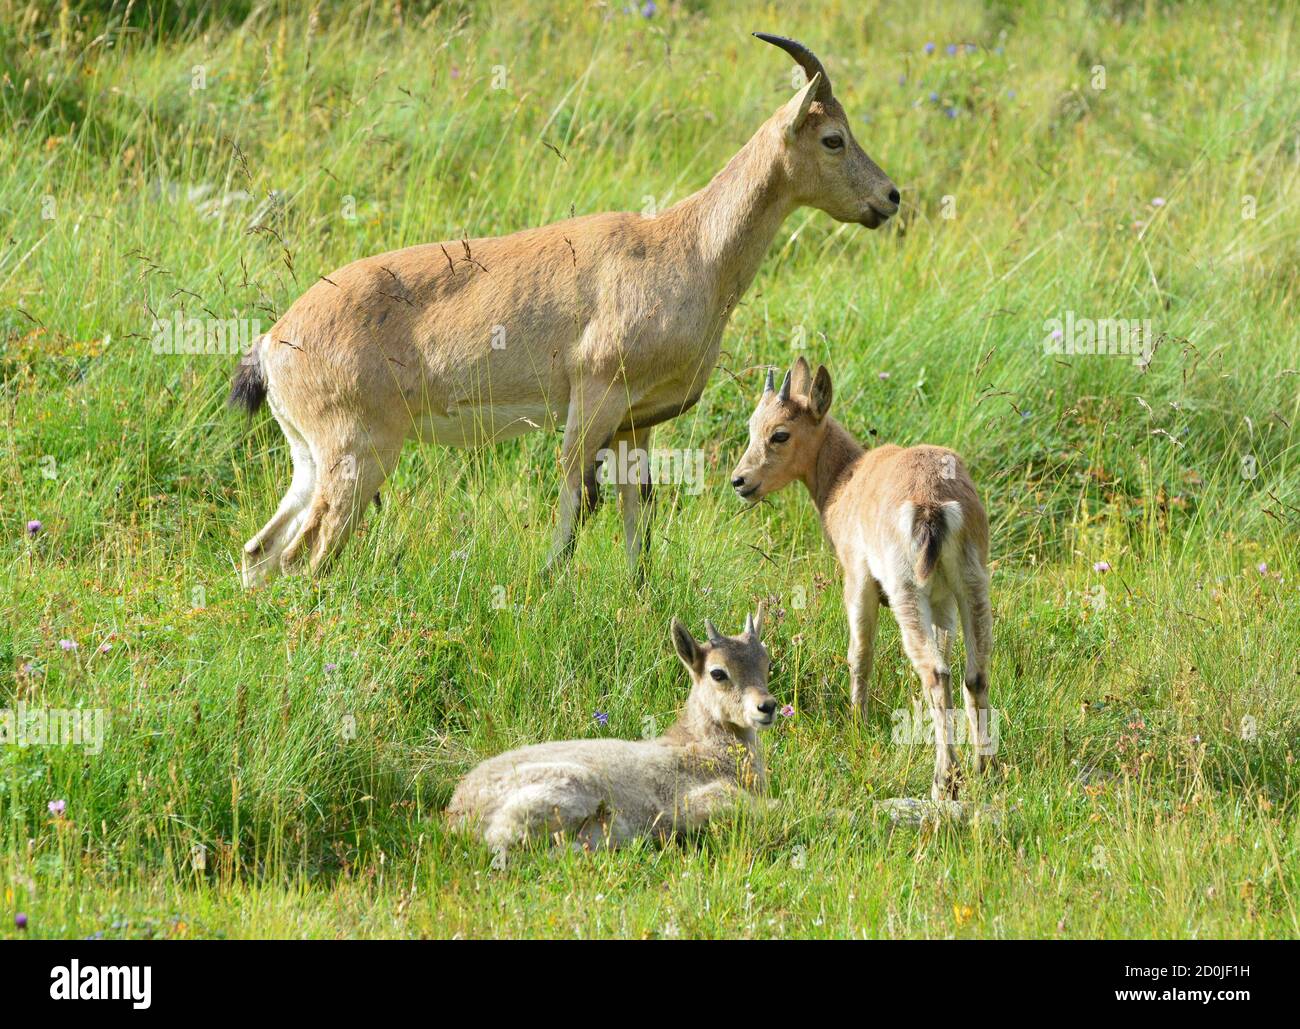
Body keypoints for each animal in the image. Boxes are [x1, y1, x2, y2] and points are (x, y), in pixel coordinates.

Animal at [229, 33, 898, 587]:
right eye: (832, 137)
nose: (889, 197)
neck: (683, 244)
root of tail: (273, 340)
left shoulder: (636, 423)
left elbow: (636, 519)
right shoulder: (592, 398)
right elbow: (573, 505)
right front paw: (550, 583)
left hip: (308, 461)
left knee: (259, 553)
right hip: (357, 456)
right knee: (305, 557)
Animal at [446, 608, 775, 858]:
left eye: (766, 663)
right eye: (717, 673)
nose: (767, 706)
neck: (703, 748)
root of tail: (459, 812)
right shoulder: (693, 799)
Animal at [730, 359, 993, 800]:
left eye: (780, 433)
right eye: (752, 425)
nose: (740, 481)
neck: (846, 479)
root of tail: (935, 504)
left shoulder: (858, 578)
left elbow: (860, 653)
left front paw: (858, 721)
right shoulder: (942, 601)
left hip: (906, 591)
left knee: (935, 672)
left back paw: (944, 779)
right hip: (971, 583)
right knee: (973, 672)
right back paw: (983, 766)